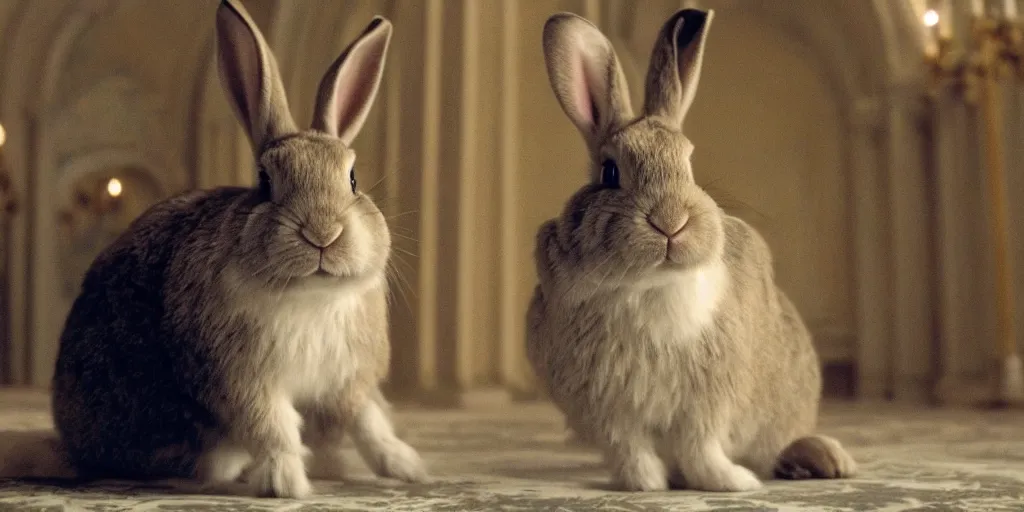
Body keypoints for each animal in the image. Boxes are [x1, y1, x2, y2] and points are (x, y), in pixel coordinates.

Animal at [17, 0, 427, 499]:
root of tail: (71, 446)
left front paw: (408, 467)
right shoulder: (242, 380)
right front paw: (288, 484)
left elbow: (370, 423)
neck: (311, 294)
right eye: (265, 181)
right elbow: (274, 429)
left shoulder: (350, 378)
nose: (322, 233)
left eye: (352, 179)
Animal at [526, 8, 857, 492]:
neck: (649, 284)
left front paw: (734, 483)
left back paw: (824, 460)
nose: (671, 222)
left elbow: (701, 449)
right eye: (609, 172)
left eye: (690, 165)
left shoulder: (708, 401)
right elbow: (632, 451)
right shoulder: (608, 411)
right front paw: (646, 486)